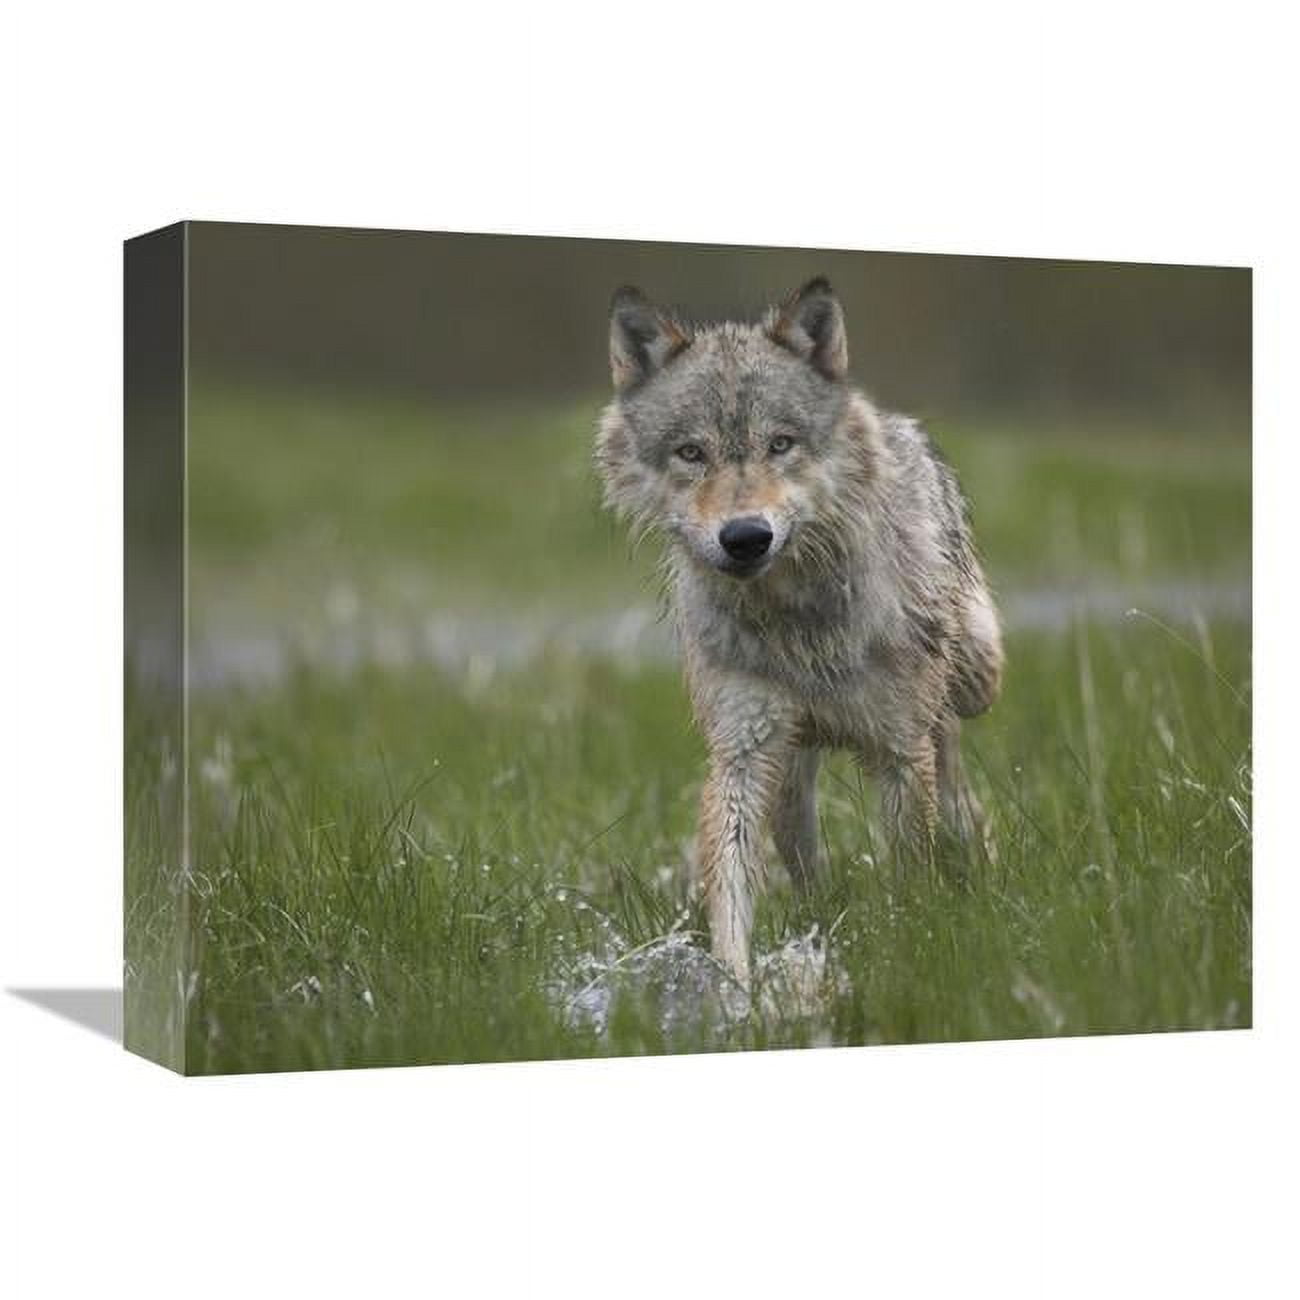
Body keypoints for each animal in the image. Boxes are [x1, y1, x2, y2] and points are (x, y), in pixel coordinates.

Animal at [595, 278, 1003, 986]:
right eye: (691, 453)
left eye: (780, 444)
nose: (744, 537)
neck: (799, 624)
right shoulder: (740, 754)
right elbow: (730, 888)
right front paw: (734, 987)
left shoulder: (899, 754)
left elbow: (910, 875)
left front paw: (908, 946)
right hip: (789, 773)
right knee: (809, 869)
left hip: (973, 682)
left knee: (962, 788)